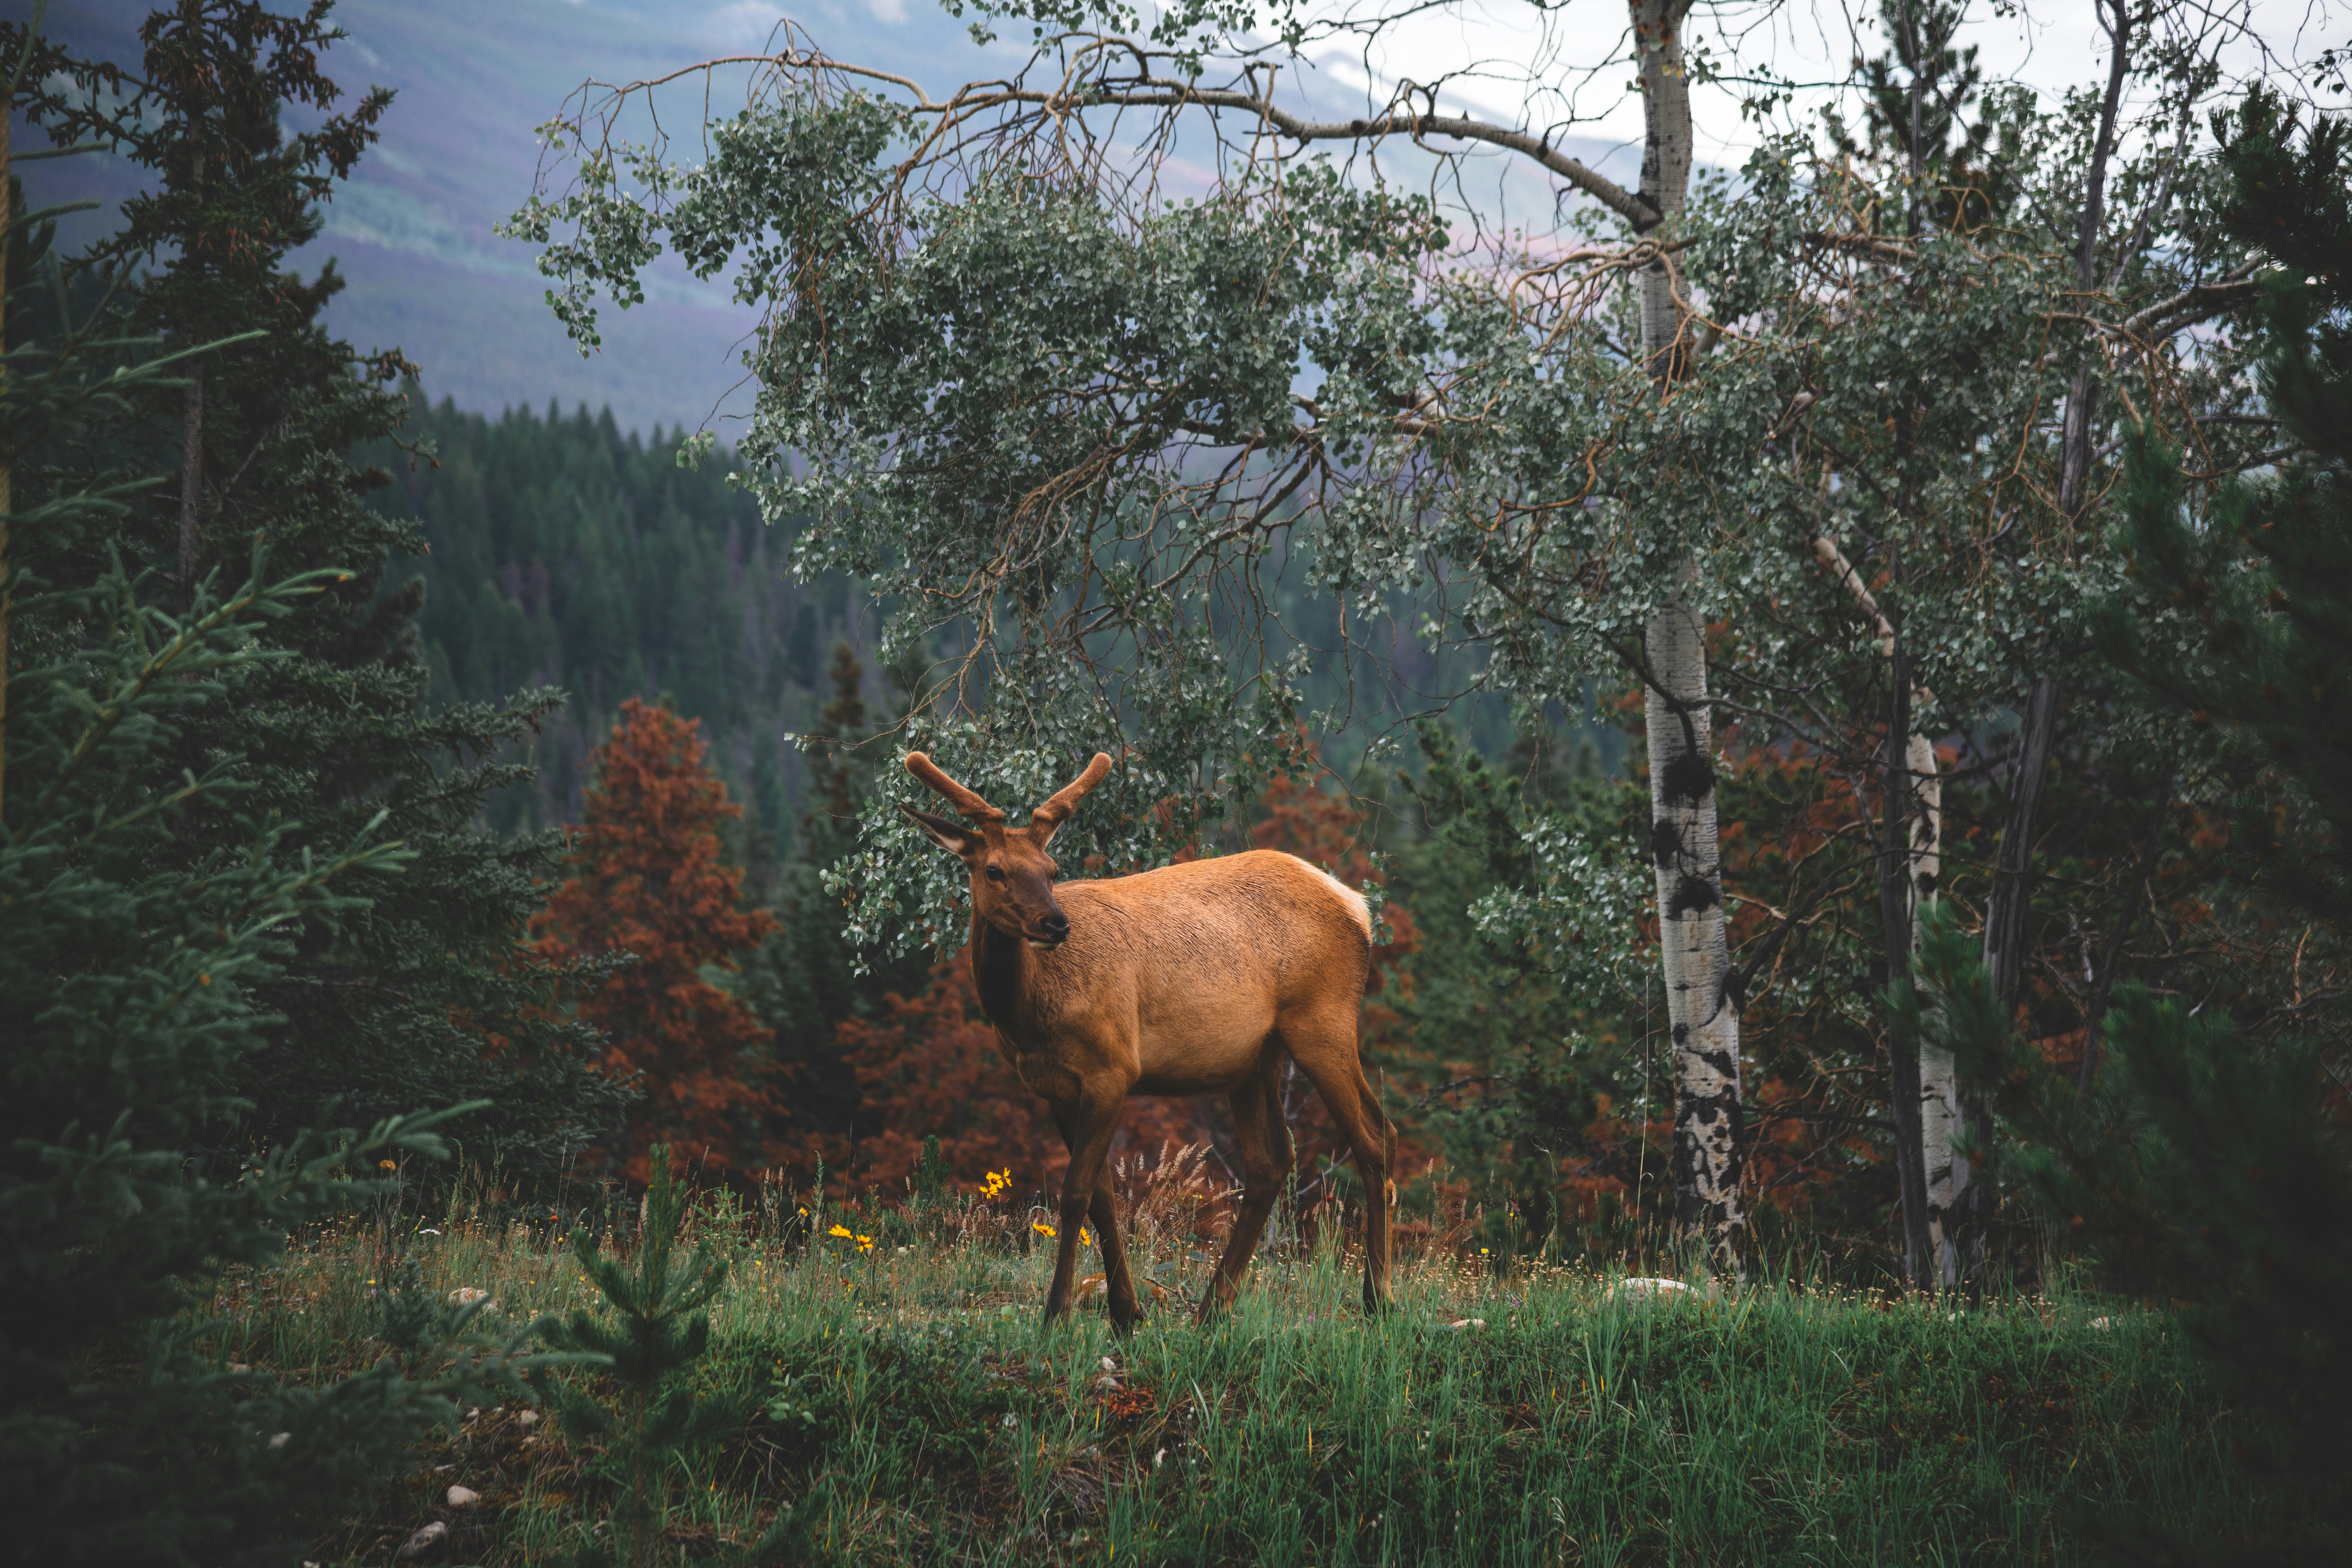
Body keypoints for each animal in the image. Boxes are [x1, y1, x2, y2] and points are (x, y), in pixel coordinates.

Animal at [899, 750, 1394, 1332]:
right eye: (994, 870)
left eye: (1052, 870)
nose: (1055, 924)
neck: (1030, 1015)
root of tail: (1360, 906)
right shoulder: (1055, 1087)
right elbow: (1102, 1196)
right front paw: (1126, 1311)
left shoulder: (1114, 1066)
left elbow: (1075, 1192)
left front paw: (1056, 1312)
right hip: (1255, 1058)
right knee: (1272, 1159)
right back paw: (1212, 1308)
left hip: (1323, 1018)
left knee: (1374, 1135)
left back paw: (1378, 1299)